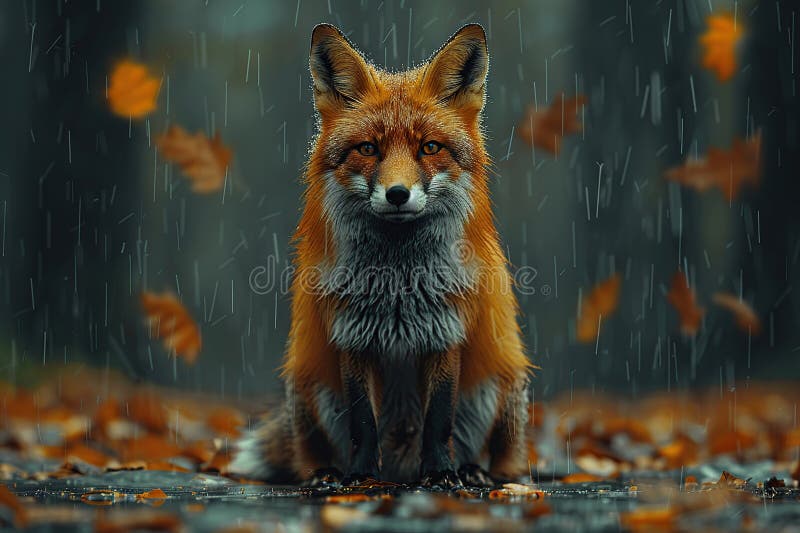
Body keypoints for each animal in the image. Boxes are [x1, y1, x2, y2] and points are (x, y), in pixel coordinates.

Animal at [229, 23, 533, 487]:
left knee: (501, 462)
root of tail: (400, 469)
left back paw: (472, 471)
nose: (397, 194)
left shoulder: (445, 332)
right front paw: (358, 477)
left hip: (497, 387)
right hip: (311, 390)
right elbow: (362, 424)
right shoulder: (352, 335)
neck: (397, 284)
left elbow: (438, 421)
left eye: (429, 148)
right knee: (309, 455)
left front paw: (441, 473)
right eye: (368, 149)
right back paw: (328, 473)